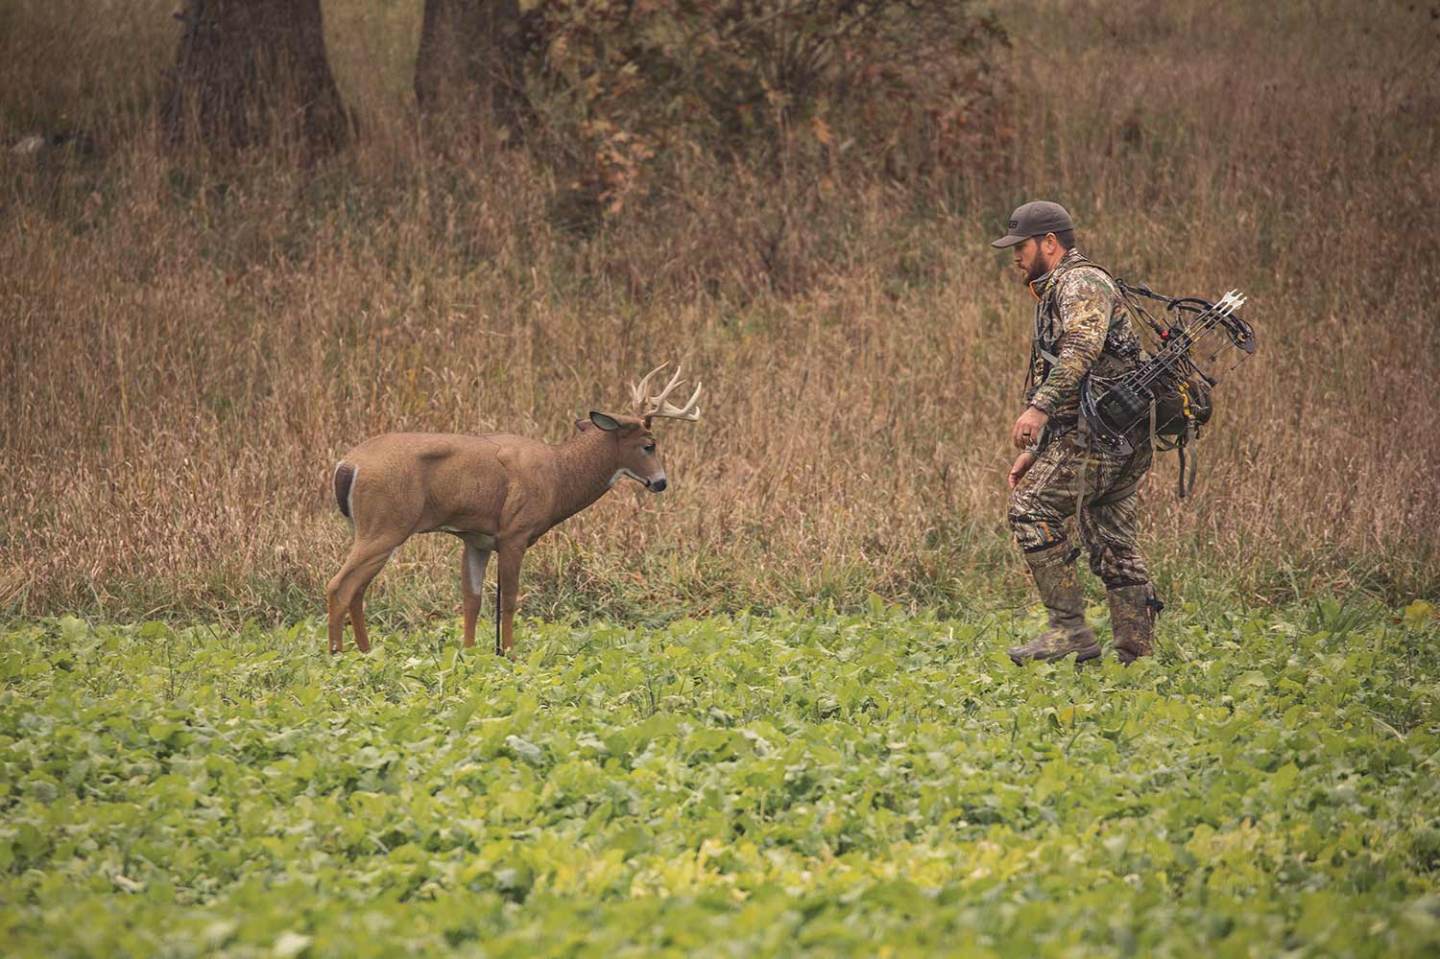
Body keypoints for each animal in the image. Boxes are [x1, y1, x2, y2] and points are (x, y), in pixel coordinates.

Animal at [325, 364, 701, 656]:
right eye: (649, 445)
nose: (661, 482)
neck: (559, 475)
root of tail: (347, 466)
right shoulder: (514, 532)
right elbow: (509, 599)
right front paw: (509, 653)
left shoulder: (475, 538)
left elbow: (473, 599)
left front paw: (470, 653)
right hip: (385, 524)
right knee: (338, 585)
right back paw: (337, 655)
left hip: (370, 528)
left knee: (357, 588)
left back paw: (366, 651)